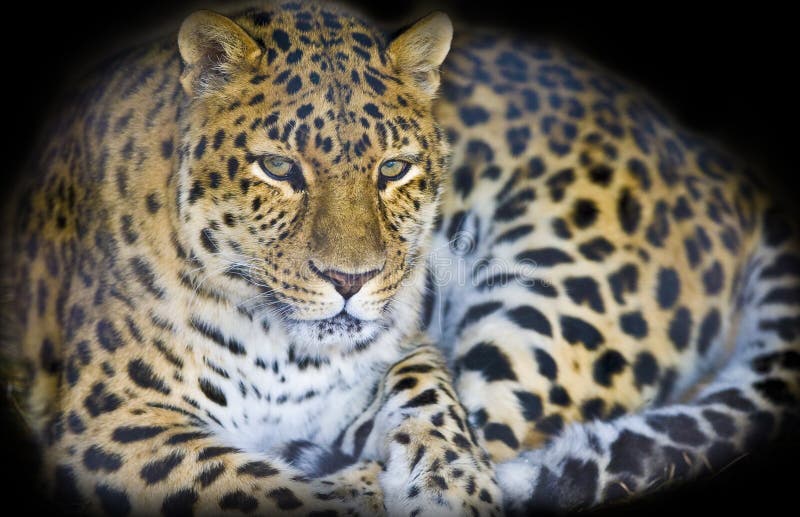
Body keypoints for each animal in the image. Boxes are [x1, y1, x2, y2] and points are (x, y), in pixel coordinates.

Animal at [2, 1, 799, 515]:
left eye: (393, 169)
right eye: (279, 168)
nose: (350, 281)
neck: (282, 347)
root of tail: (719, 161)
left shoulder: (387, 360)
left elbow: (428, 388)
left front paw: (449, 481)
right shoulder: (113, 422)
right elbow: (238, 480)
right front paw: (356, 491)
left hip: (549, 304)